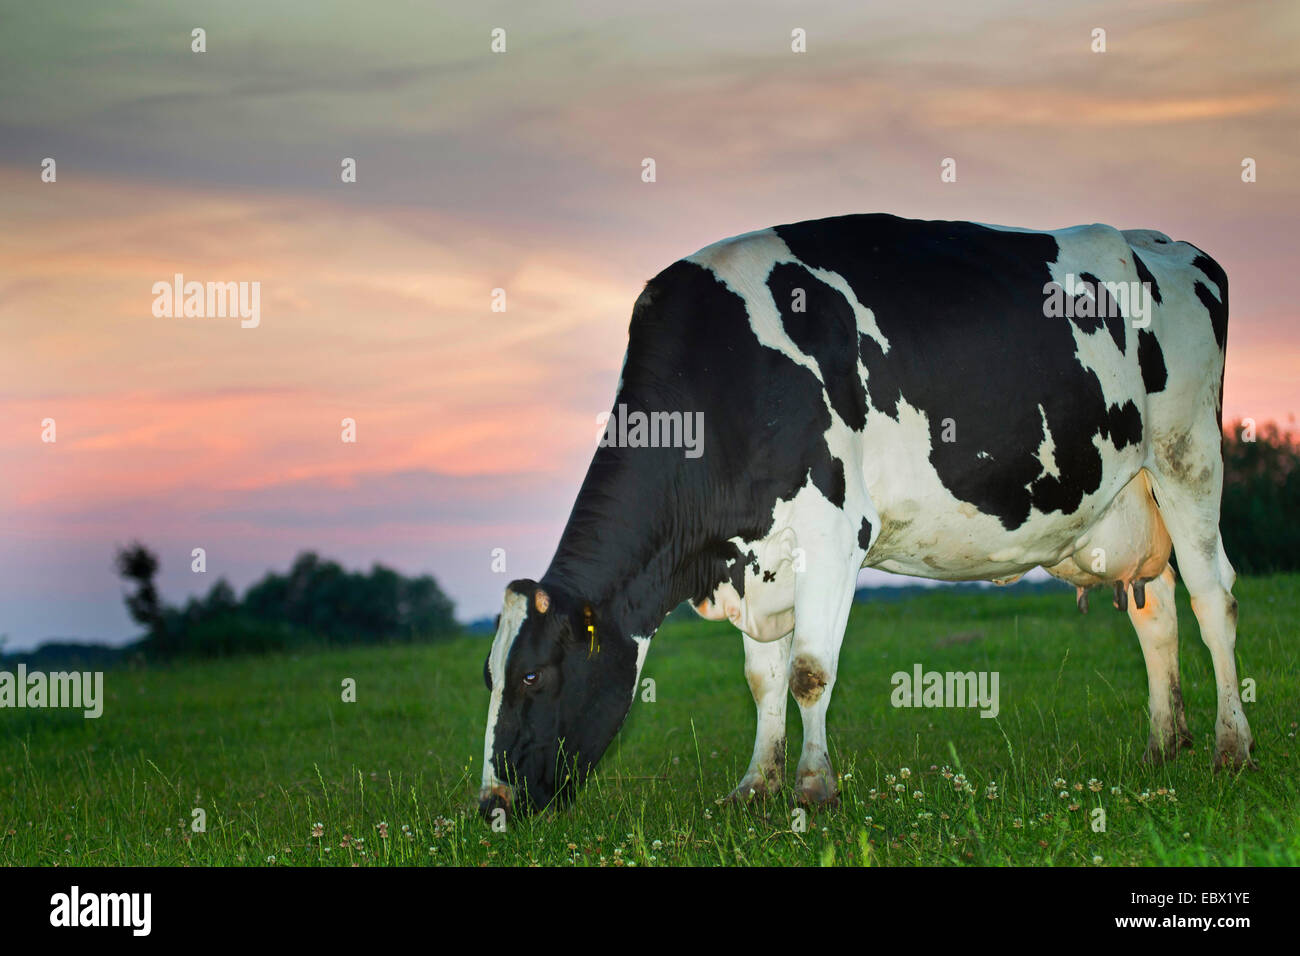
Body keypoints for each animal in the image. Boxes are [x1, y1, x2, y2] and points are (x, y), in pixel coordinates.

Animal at [478, 213, 1253, 820]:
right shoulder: (756, 555)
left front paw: (813, 789)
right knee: (1156, 613)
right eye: (489, 677)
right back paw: (1163, 746)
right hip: (1126, 500)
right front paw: (755, 786)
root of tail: (1164, 244)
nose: (491, 804)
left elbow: (808, 673)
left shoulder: (830, 529)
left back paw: (1231, 748)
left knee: (1212, 597)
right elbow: (763, 680)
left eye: (533, 676)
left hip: (1187, 456)